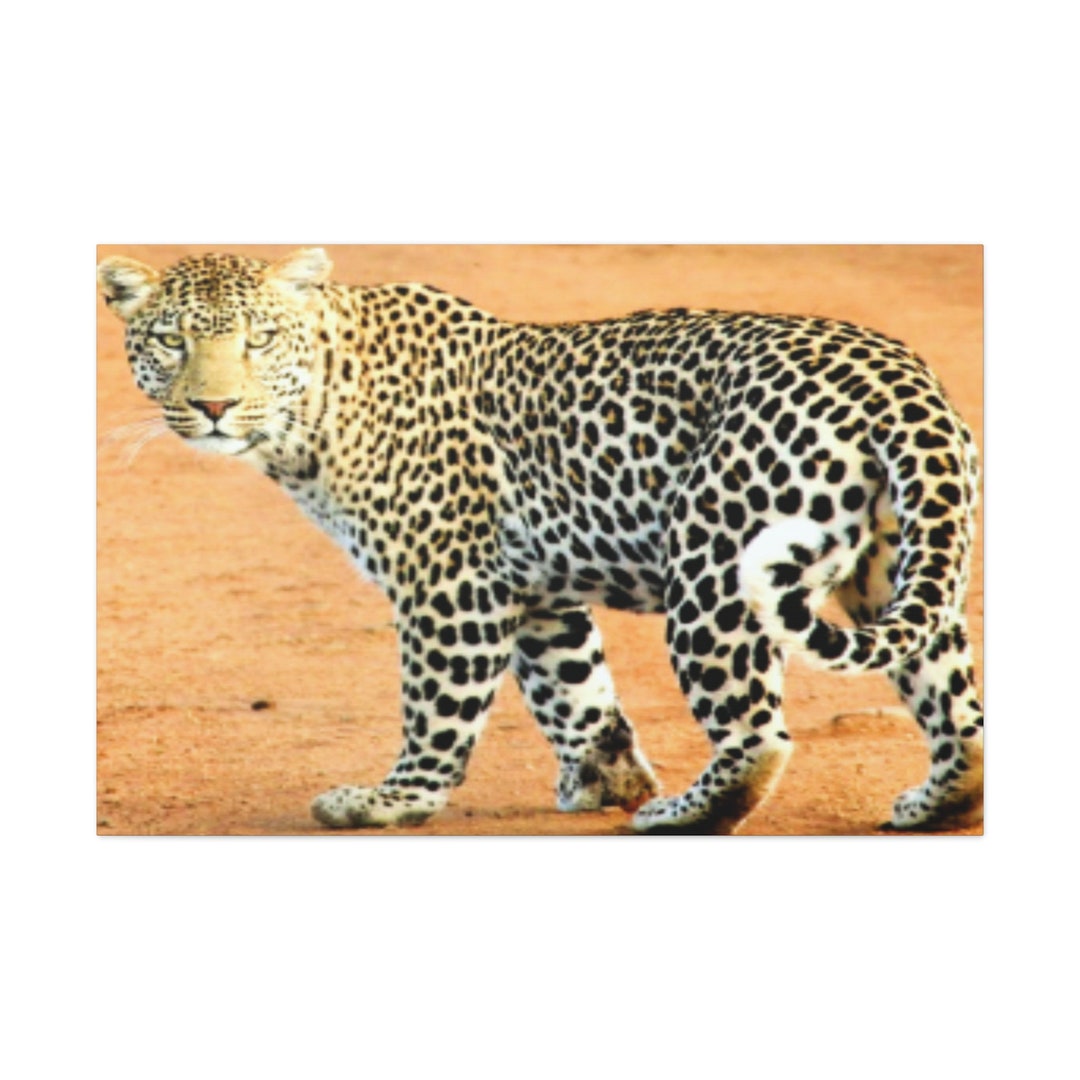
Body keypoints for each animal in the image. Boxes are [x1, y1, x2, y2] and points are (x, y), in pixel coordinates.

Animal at [97, 248, 984, 834]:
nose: (214, 406)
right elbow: (575, 690)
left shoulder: (447, 582)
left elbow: (438, 705)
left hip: (715, 568)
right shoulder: (533, 591)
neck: (316, 410)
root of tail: (898, 379)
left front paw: (396, 798)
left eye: (259, 340)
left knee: (757, 735)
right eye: (172, 341)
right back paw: (938, 801)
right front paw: (607, 780)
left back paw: (683, 814)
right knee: (954, 699)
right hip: (895, 568)